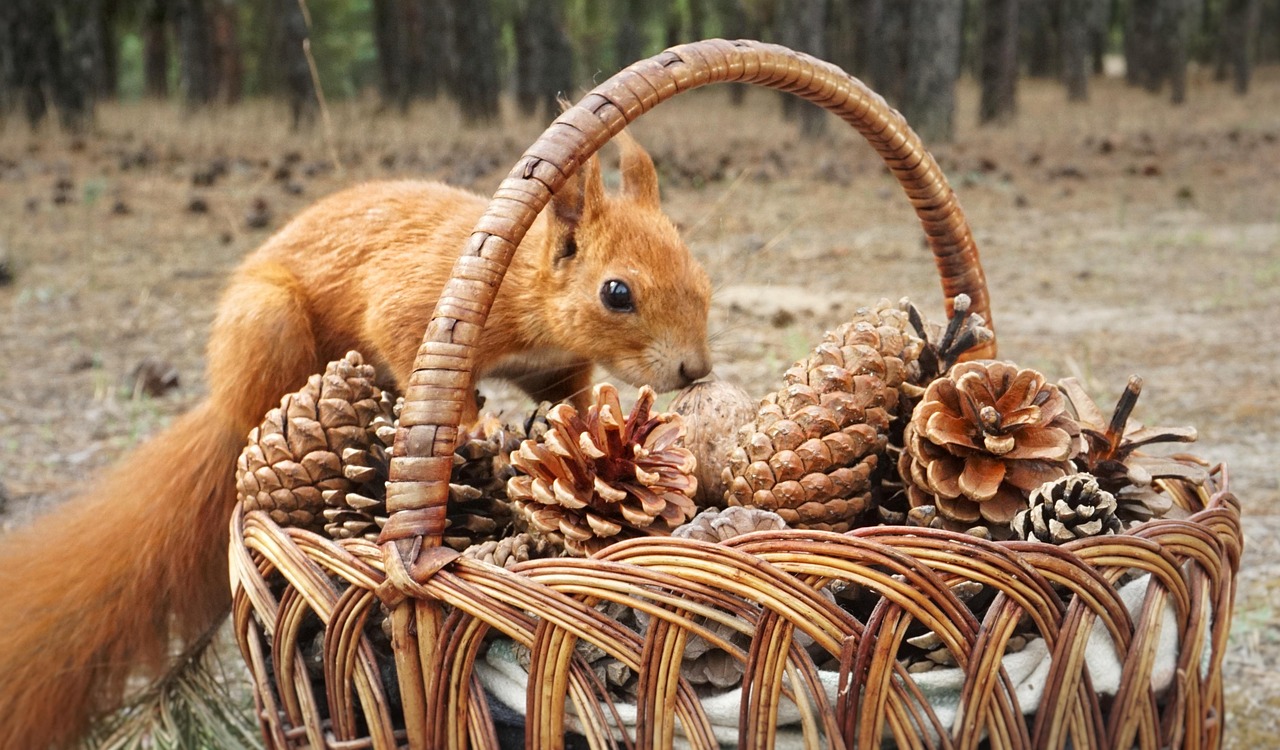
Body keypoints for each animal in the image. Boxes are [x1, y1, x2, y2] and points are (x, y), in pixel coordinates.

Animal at [0, 132, 712, 749]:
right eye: (616, 292)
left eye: (700, 273)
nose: (695, 369)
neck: (520, 277)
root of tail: (222, 404)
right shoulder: (415, 309)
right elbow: (420, 355)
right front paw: (473, 425)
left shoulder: (555, 366)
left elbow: (573, 398)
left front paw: (592, 420)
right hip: (270, 328)